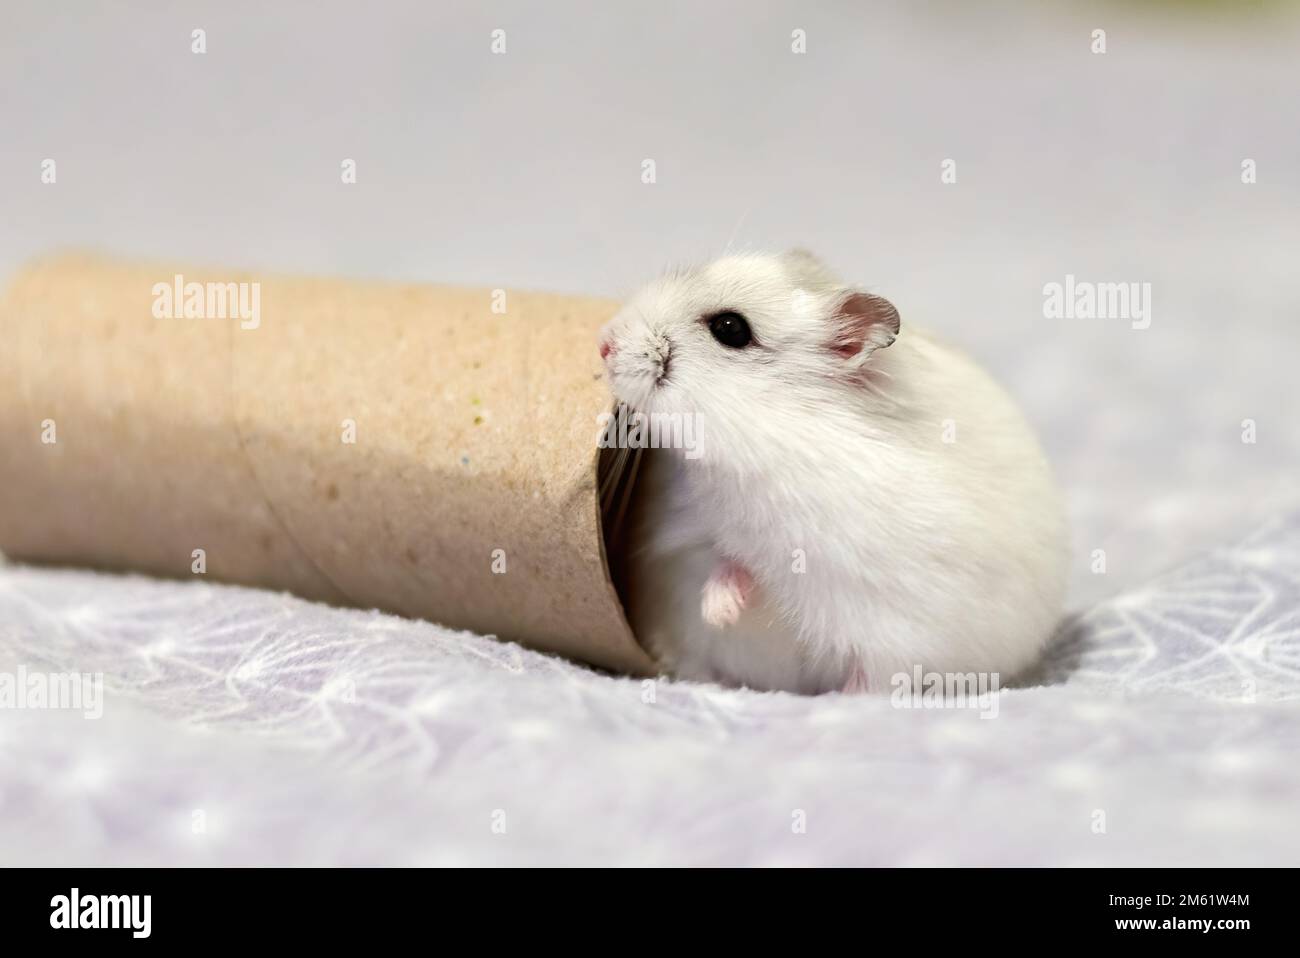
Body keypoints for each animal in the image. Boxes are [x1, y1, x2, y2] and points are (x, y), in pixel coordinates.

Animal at [598, 249, 1068, 694]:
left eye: (730, 329)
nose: (604, 343)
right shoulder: (692, 532)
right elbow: (724, 558)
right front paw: (722, 612)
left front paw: (723, 611)